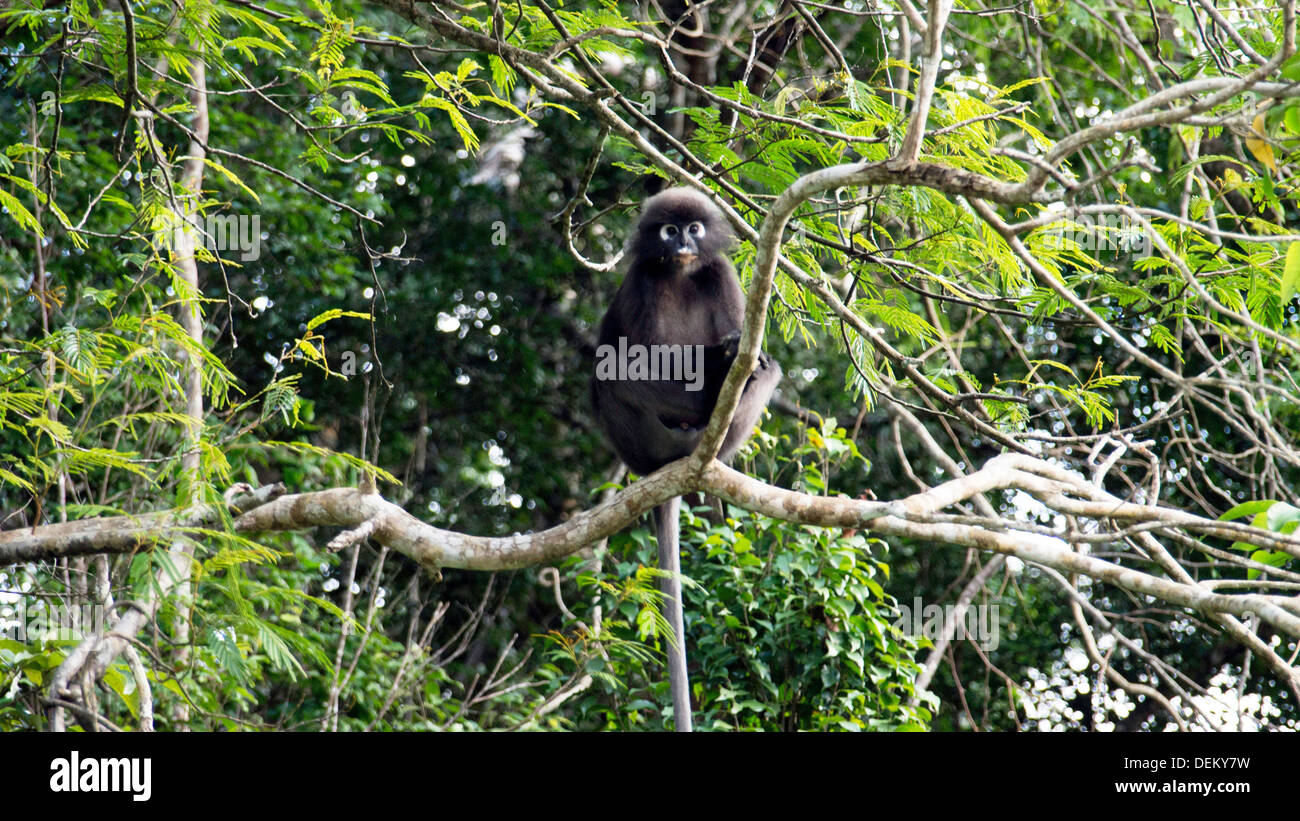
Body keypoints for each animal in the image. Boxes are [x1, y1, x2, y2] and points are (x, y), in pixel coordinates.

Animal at [591, 187, 781, 732]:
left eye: (694, 229)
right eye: (668, 230)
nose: (681, 244)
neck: (679, 271)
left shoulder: (721, 272)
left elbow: (749, 343)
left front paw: (733, 356)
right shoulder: (643, 280)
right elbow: (634, 357)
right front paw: (716, 363)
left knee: (768, 368)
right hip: (640, 441)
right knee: (610, 371)